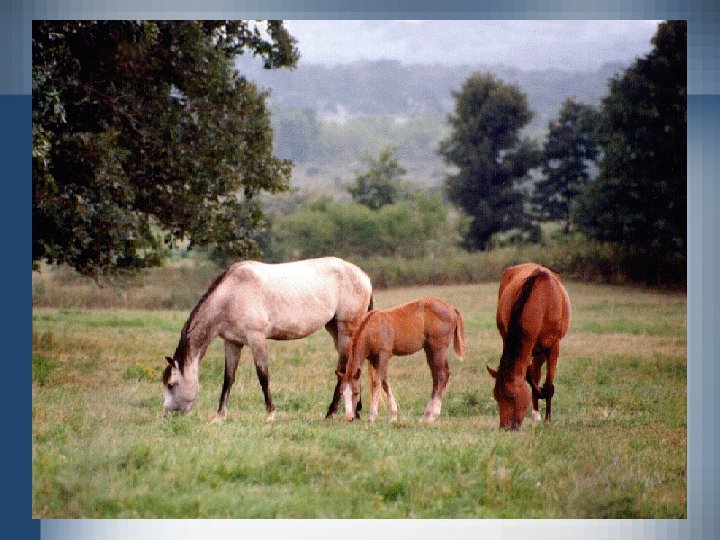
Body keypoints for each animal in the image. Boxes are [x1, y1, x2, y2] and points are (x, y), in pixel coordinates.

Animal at [161, 257, 373, 423]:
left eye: (171, 384)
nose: (167, 416)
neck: (232, 293)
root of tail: (363, 276)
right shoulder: (232, 343)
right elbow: (228, 378)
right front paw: (219, 416)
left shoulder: (256, 338)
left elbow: (263, 375)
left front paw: (270, 415)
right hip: (334, 328)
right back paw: (356, 411)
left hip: (346, 329)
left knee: (345, 367)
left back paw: (331, 413)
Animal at [336, 297, 465, 423]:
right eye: (342, 393)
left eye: (356, 392)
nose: (349, 417)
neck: (372, 328)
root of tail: (452, 309)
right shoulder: (374, 359)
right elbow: (384, 381)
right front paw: (393, 416)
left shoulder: (384, 355)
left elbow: (377, 382)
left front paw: (372, 417)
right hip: (430, 350)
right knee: (436, 377)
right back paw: (426, 416)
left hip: (438, 349)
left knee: (442, 375)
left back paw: (432, 415)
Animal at [486, 263, 571, 430]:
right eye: (496, 396)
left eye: (511, 396)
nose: (506, 428)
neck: (543, 302)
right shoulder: (524, 345)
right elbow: (529, 375)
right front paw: (538, 397)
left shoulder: (553, 347)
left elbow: (547, 384)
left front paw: (548, 419)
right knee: (534, 373)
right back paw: (536, 413)